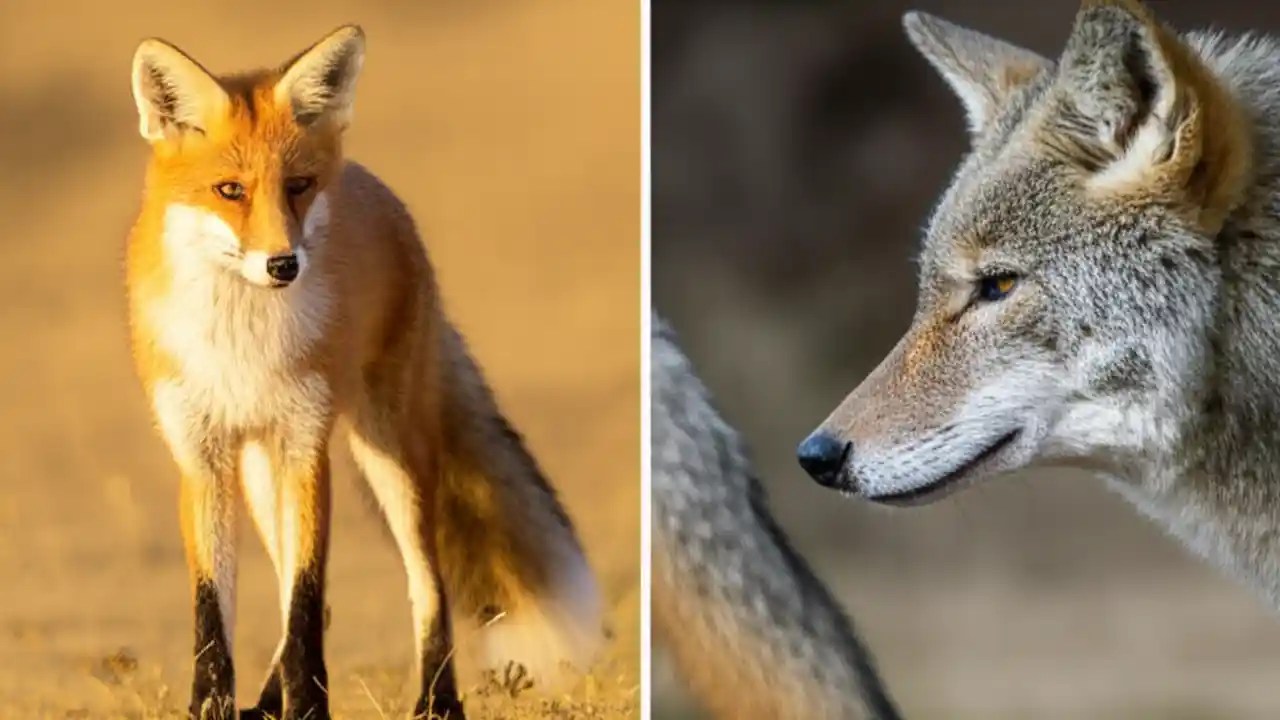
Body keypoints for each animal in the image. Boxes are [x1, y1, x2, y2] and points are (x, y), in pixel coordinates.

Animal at [124, 25, 601, 720]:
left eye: (298, 184)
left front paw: (310, 710)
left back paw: (437, 702)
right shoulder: (200, 456)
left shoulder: (307, 447)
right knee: (313, 604)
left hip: (390, 453)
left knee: (425, 585)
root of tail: (377, 188)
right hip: (262, 471)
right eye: (230, 191)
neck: (243, 341)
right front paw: (212, 707)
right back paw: (267, 704)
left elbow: (303, 601)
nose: (283, 265)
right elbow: (216, 615)